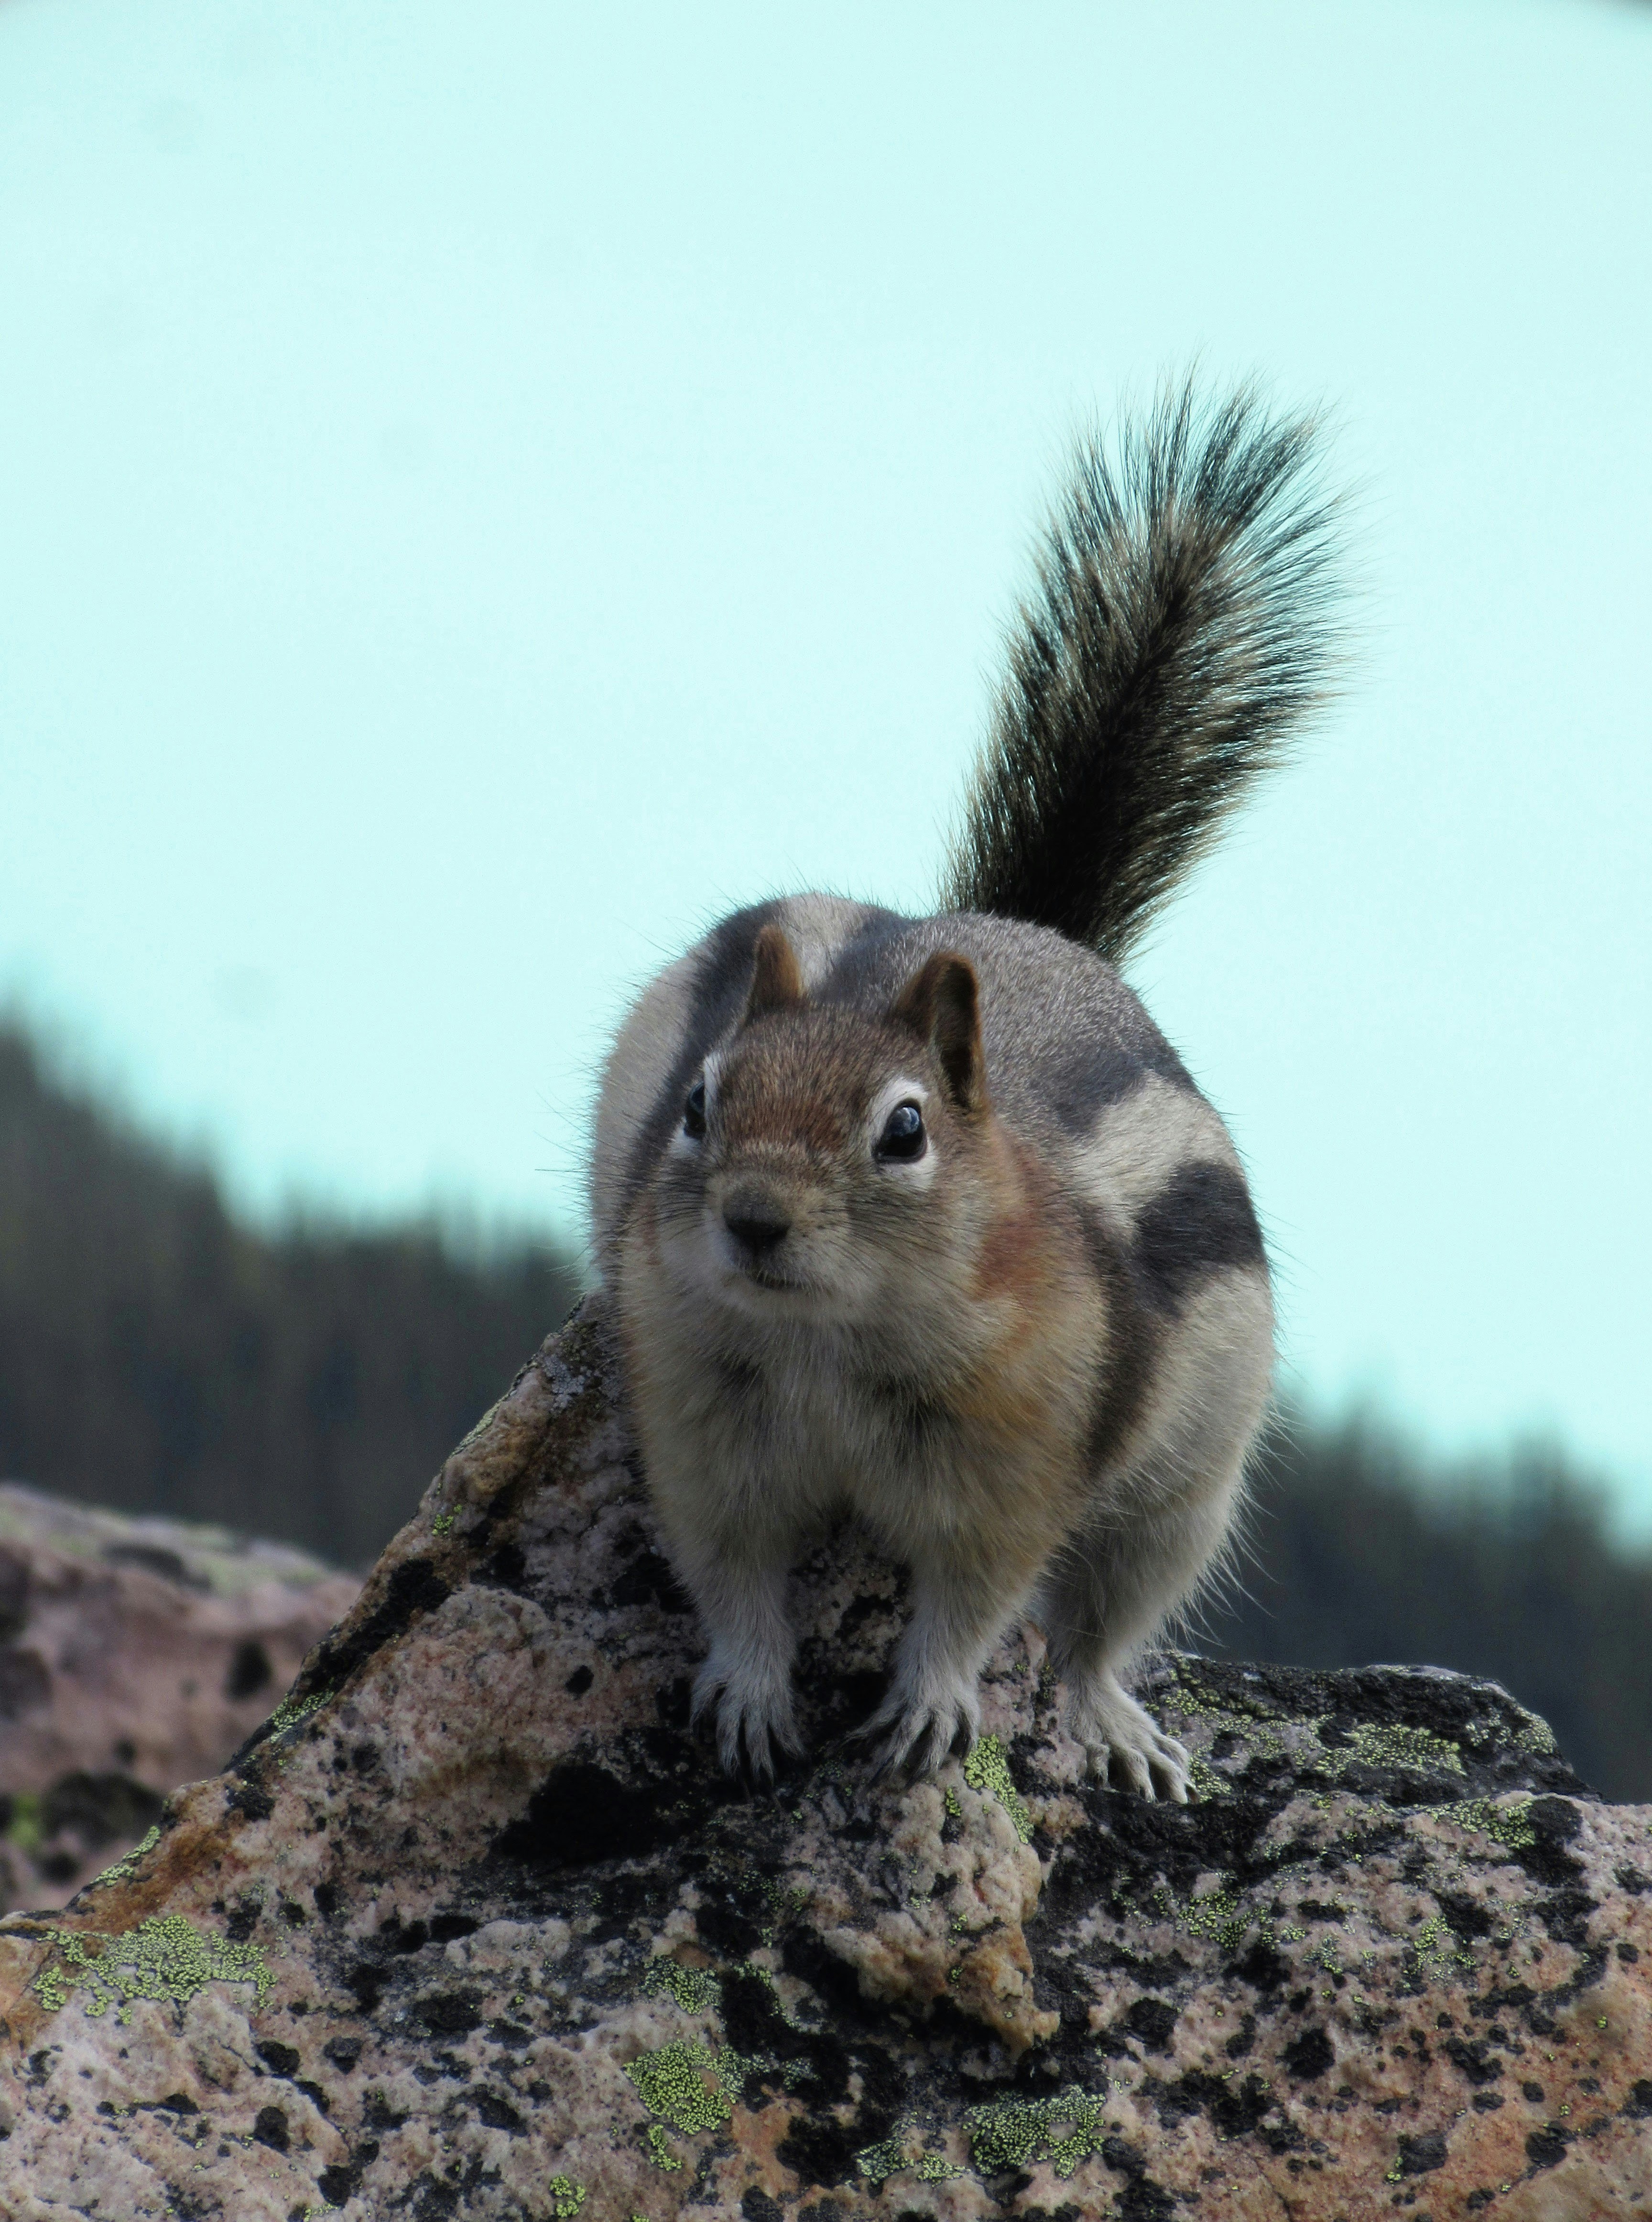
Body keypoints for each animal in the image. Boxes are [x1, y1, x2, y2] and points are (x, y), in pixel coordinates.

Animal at [590, 381, 1340, 1797]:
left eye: (904, 1131)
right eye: (700, 1106)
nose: (754, 1220)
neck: (828, 1347)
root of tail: (1028, 931)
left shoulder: (1019, 1461)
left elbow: (980, 1599)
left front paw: (932, 1706)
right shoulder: (705, 1429)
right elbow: (730, 1573)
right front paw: (751, 1690)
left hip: (1187, 1489)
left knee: (1105, 1624)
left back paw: (1116, 1728)